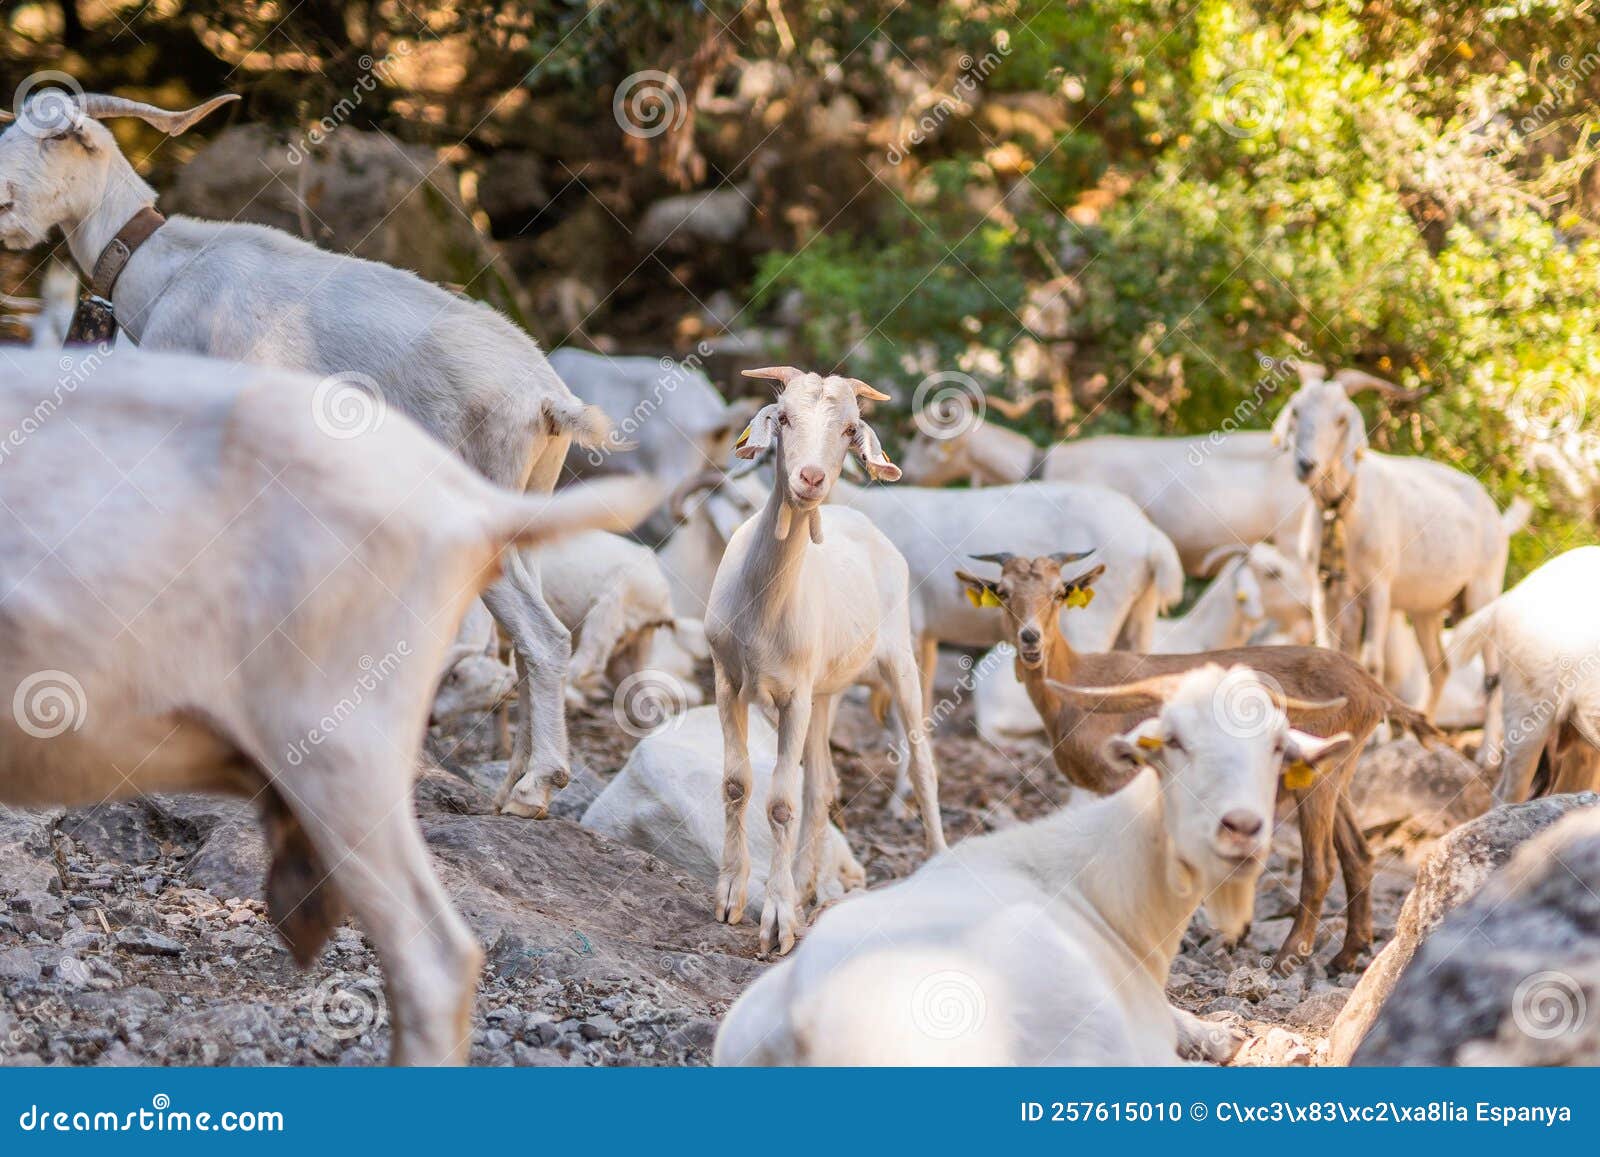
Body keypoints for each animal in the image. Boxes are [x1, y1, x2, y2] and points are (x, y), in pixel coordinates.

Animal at [0, 89, 615, 822]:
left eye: (52, 135)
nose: (1, 201)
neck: (170, 271)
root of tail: (546, 397)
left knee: (544, 636)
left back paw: (531, 790)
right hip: (527, 503)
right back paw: (512, 781)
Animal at [705, 366, 945, 955]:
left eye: (849, 429)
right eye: (785, 418)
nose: (810, 478)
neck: (762, 606)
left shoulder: (793, 695)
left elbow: (781, 803)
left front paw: (776, 921)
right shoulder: (728, 678)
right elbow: (738, 783)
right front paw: (732, 896)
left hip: (899, 658)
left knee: (923, 766)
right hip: (826, 691)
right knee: (822, 785)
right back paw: (808, 887)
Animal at [956, 554, 1436, 973]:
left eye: (1059, 593)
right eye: (1002, 591)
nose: (1030, 640)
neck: (1077, 681)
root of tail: (1372, 688)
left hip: (1316, 780)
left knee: (1321, 865)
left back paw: (1287, 959)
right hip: (1338, 768)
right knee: (1359, 853)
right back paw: (1347, 955)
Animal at [1273, 363, 1508, 729]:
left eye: (1341, 419)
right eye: (1296, 410)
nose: (1306, 465)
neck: (1345, 511)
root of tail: (1492, 510)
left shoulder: (1378, 588)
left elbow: (1372, 663)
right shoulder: (1325, 588)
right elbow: (1334, 652)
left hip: (1483, 590)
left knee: (1493, 673)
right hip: (1427, 607)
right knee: (1439, 666)